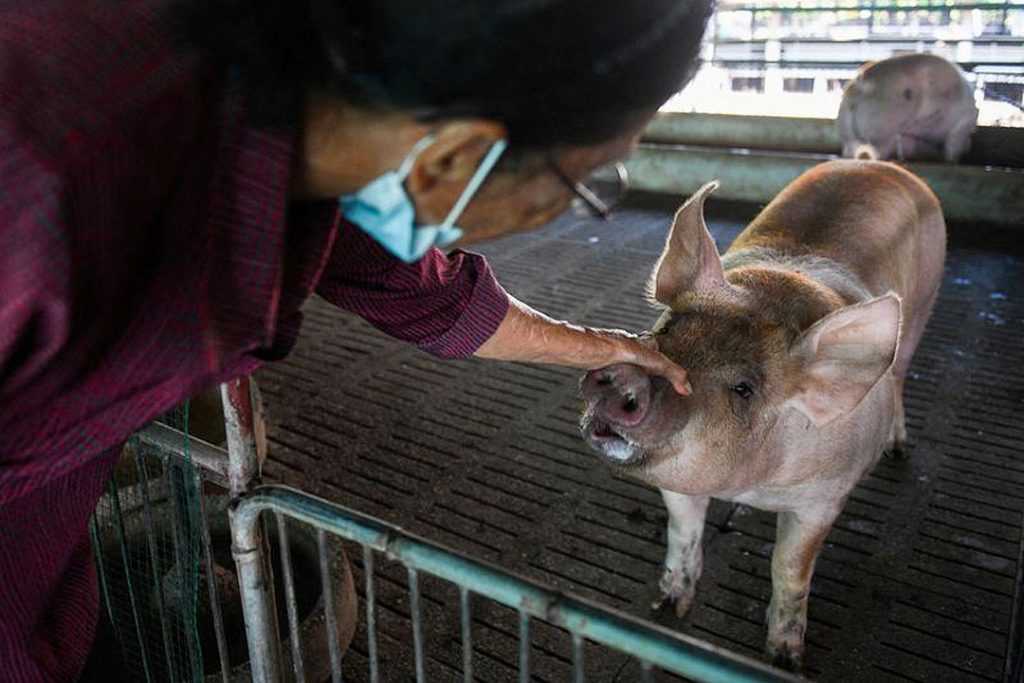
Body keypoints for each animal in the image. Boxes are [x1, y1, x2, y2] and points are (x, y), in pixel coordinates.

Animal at [579, 160, 945, 670]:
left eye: (743, 388)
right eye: (668, 329)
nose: (625, 379)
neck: (752, 487)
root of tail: (877, 162)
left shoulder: (826, 496)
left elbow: (789, 567)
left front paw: (785, 659)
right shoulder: (679, 481)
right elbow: (682, 531)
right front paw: (667, 607)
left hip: (923, 309)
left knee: (900, 374)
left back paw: (898, 450)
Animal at [838, 53, 977, 163]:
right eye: (908, 94)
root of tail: (861, 87)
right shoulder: (964, 120)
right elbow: (953, 143)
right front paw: (952, 159)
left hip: (850, 133)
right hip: (881, 129)